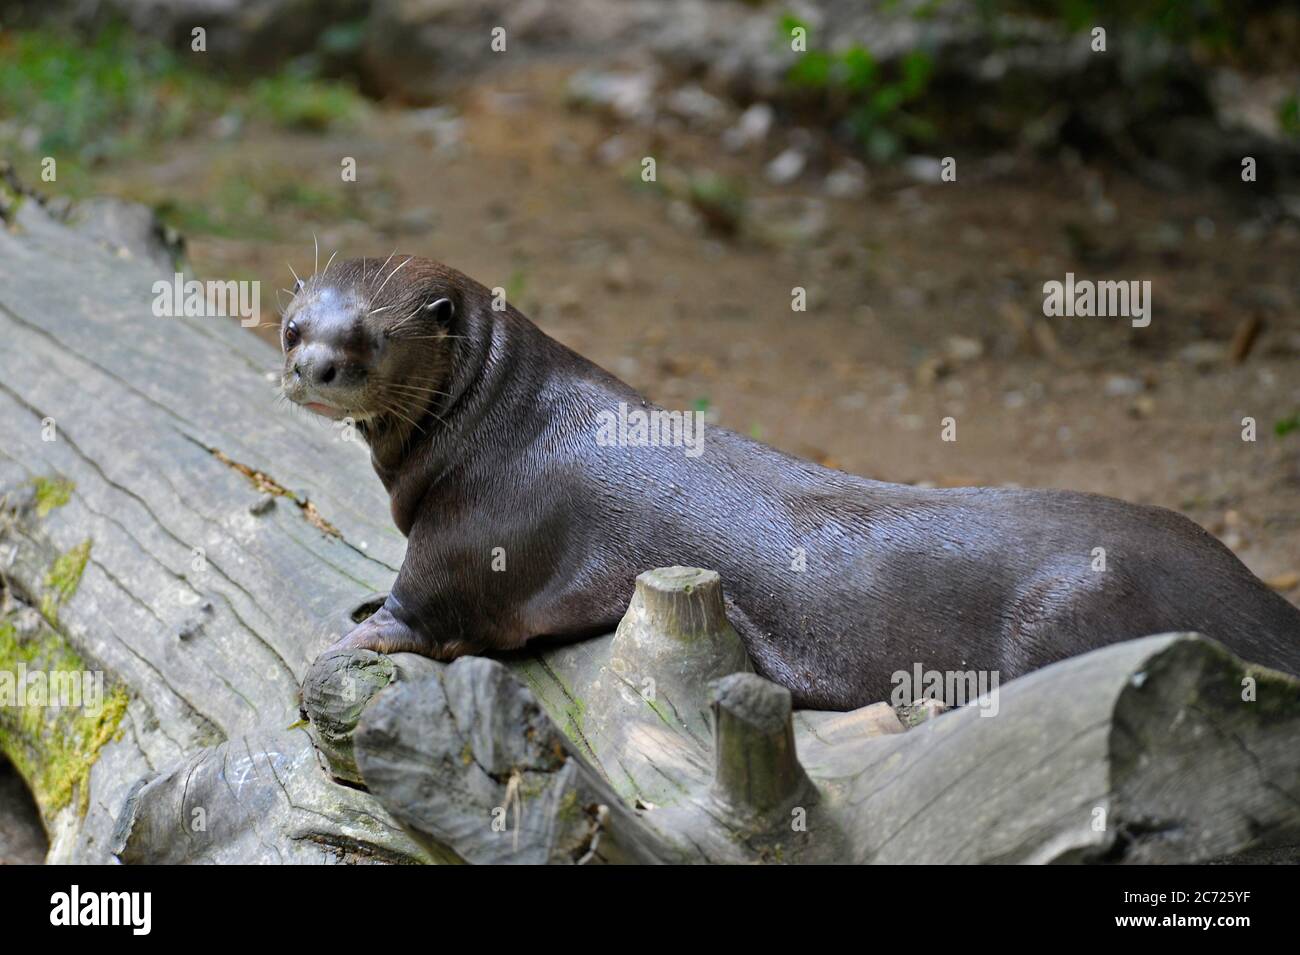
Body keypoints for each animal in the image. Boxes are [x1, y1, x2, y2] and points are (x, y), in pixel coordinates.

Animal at [279, 254, 1300, 710]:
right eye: (293, 323)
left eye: (368, 336)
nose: (311, 366)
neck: (501, 423)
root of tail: (1255, 598)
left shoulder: (479, 533)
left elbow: (426, 612)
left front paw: (356, 638)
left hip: (1082, 606)